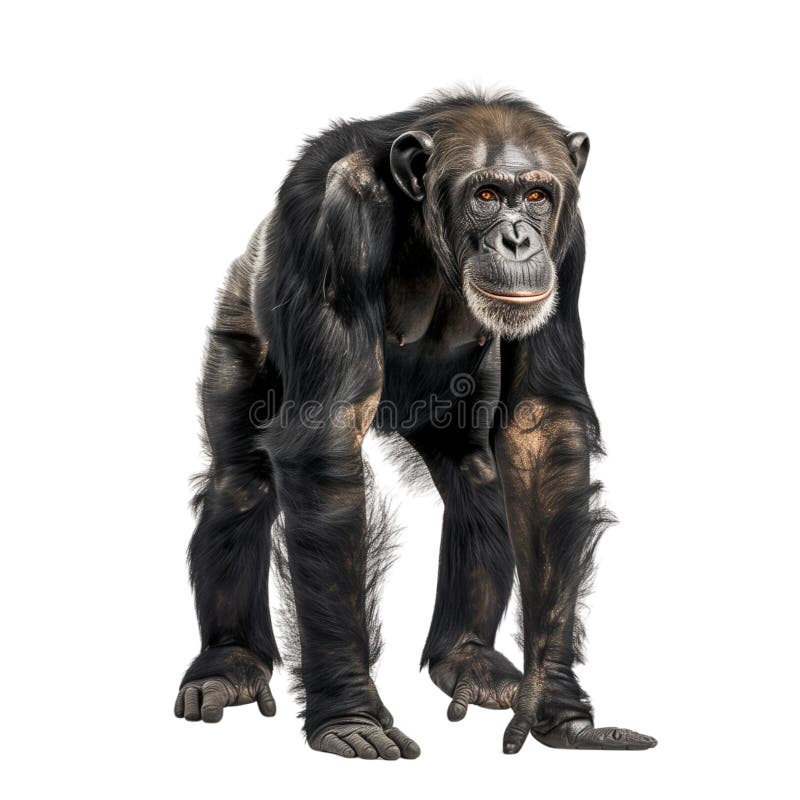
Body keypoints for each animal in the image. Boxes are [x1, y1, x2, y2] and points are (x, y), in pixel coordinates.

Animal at [174, 89, 657, 758]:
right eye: (487, 195)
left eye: (537, 195)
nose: (518, 240)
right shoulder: (334, 220)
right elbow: (325, 442)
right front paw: (349, 714)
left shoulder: (571, 245)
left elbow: (541, 428)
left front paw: (555, 704)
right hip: (239, 317)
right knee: (239, 482)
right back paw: (230, 664)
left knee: (480, 480)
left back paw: (470, 661)